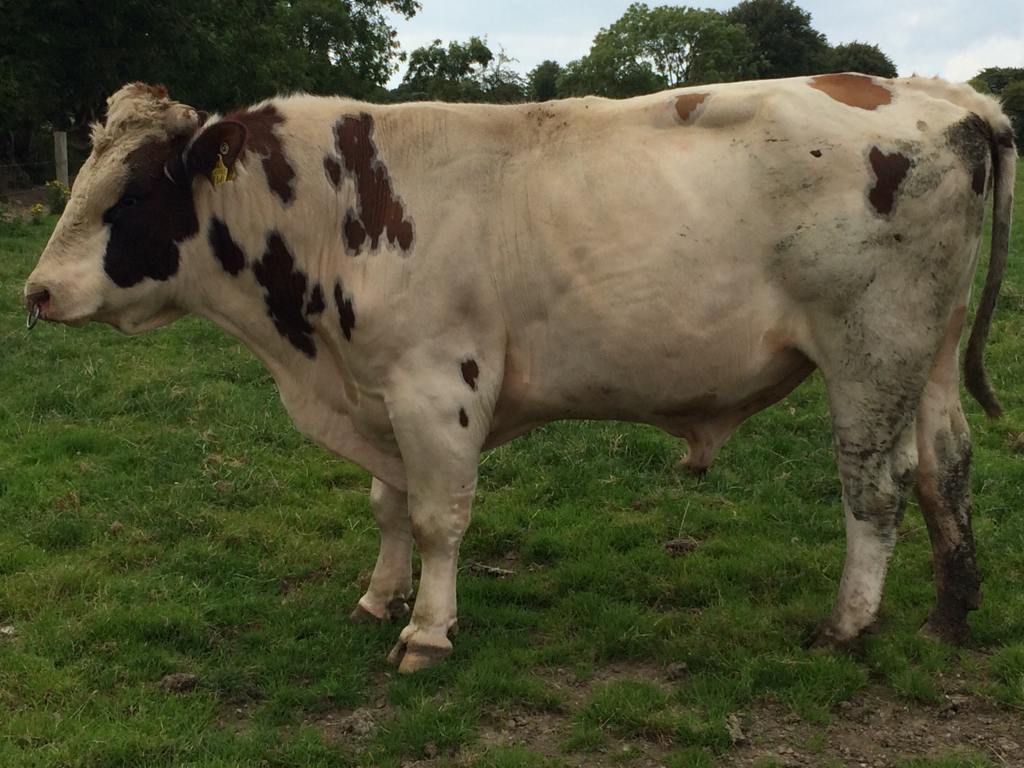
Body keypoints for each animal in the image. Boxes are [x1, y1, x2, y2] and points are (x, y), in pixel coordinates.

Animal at [25, 75, 1015, 672]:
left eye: (135, 190)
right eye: (87, 171)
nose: (36, 290)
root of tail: (943, 94)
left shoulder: (436, 384)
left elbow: (437, 516)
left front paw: (428, 631)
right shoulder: (381, 390)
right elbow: (388, 505)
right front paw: (379, 597)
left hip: (870, 349)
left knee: (876, 487)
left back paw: (848, 624)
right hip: (927, 353)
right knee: (947, 466)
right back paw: (952, 611)